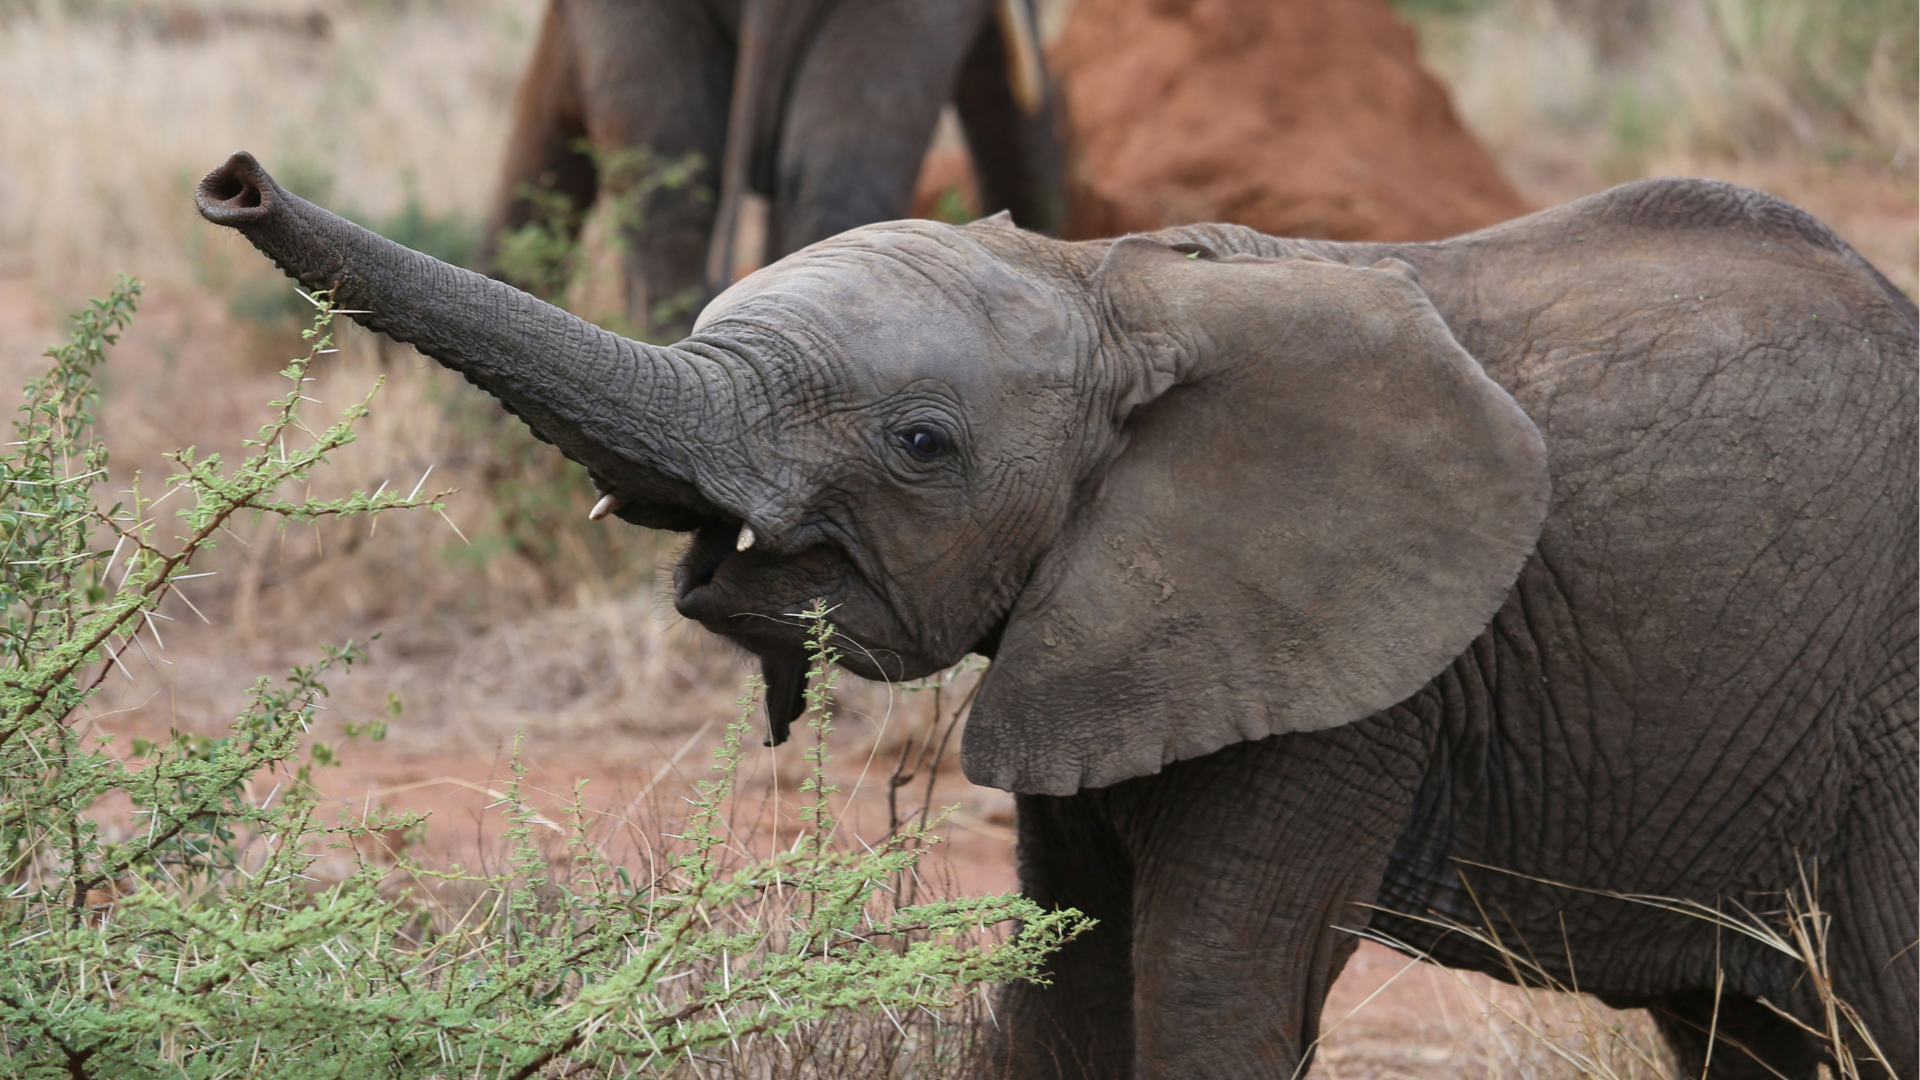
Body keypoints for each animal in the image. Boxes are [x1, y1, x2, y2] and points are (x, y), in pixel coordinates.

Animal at [195, 151, 1916, 1079]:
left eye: (921, 444)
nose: (231, 181)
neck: (1121, 284)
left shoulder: (1356, 685)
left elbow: (1212, 995)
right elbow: (1068, 1001)